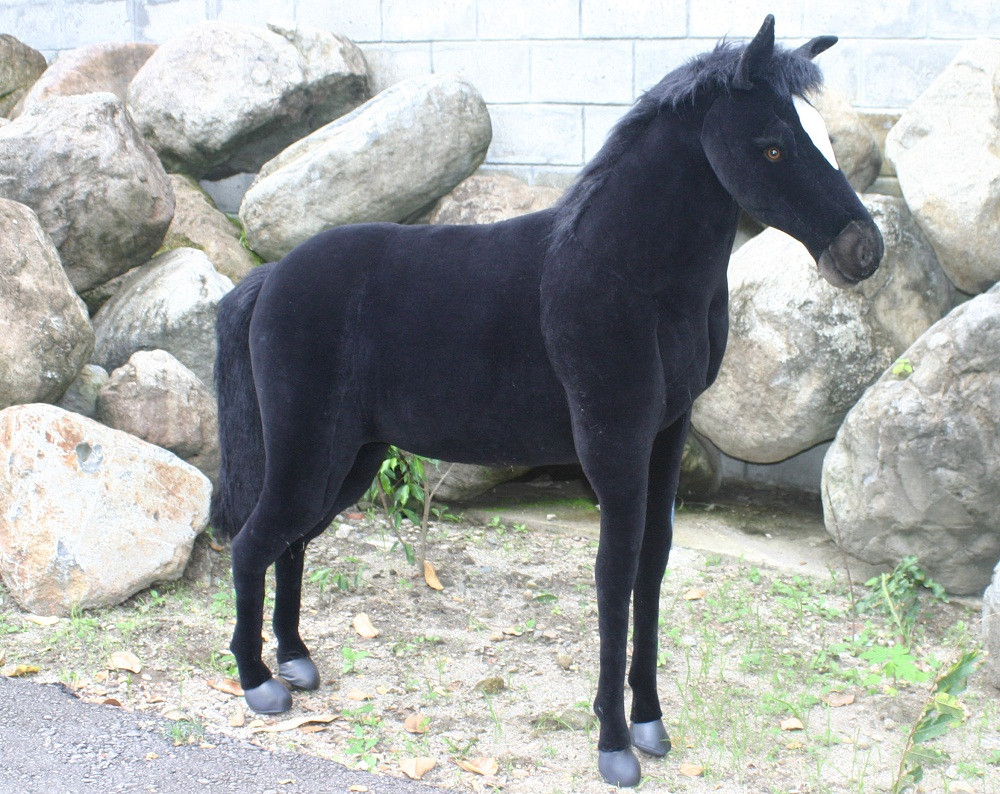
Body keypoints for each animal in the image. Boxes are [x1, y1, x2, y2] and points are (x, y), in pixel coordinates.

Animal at [210, 15, 883, 787]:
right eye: (771, 144)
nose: (863, 251)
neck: (627, 271)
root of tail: (268, 279)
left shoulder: (665, 436)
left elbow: (652, 566)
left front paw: (650, 723)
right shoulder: (614, 442)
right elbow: (614, 576)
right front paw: (614, 745)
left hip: (350, 455)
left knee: (291, 542)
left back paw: (296, 660)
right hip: (309, 447)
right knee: (254, 540)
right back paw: (259, 682)